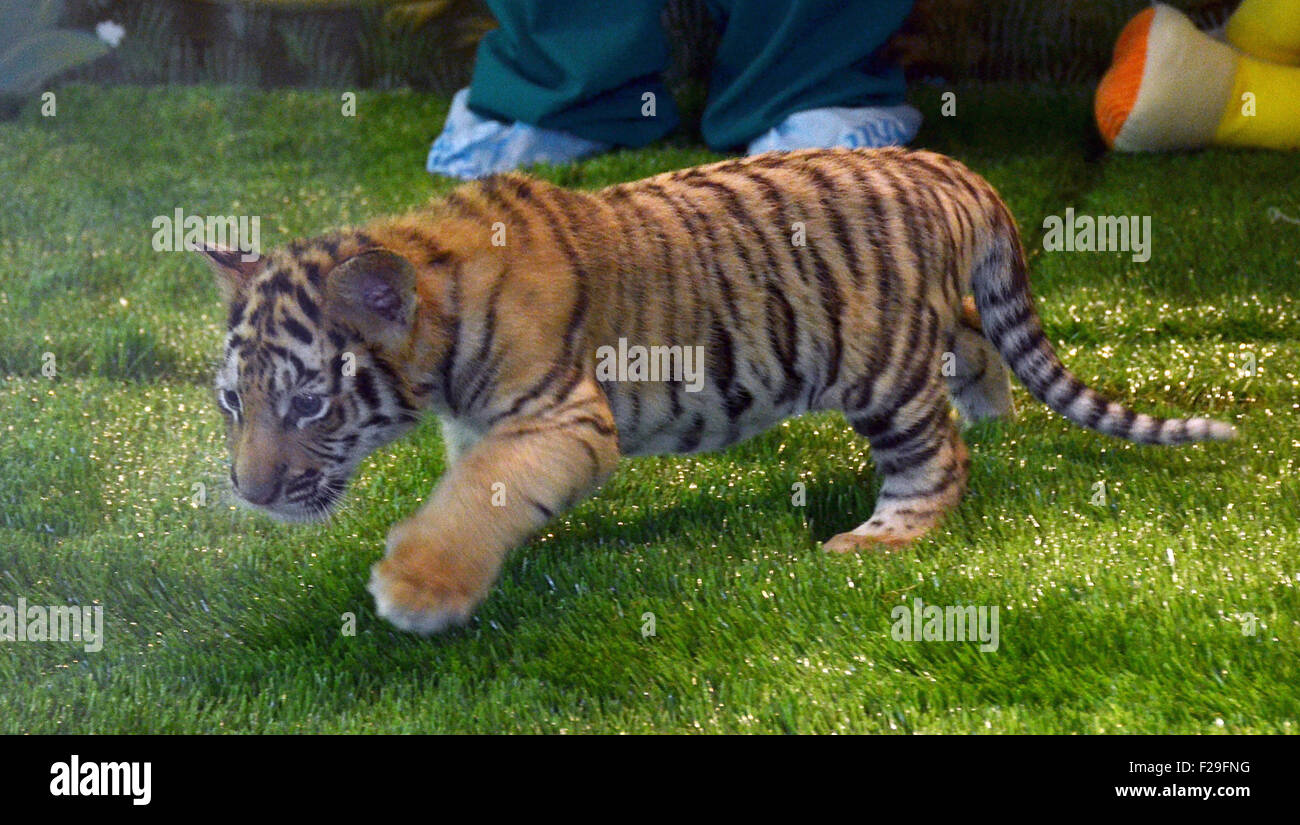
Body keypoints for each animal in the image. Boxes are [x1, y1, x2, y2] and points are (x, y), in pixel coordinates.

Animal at [199, 146, 1236, 635]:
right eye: (232, 404)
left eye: (307, 404)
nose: (250, 493)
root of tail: (941, 163)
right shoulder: (486, 423)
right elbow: (479, 486)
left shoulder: (565, 413)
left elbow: (481, 492)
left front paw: (417, 586)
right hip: (937, 328)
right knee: (981, 343)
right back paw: (995, 410)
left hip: (881, 371)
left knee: (937, 459)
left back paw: (875, 537)